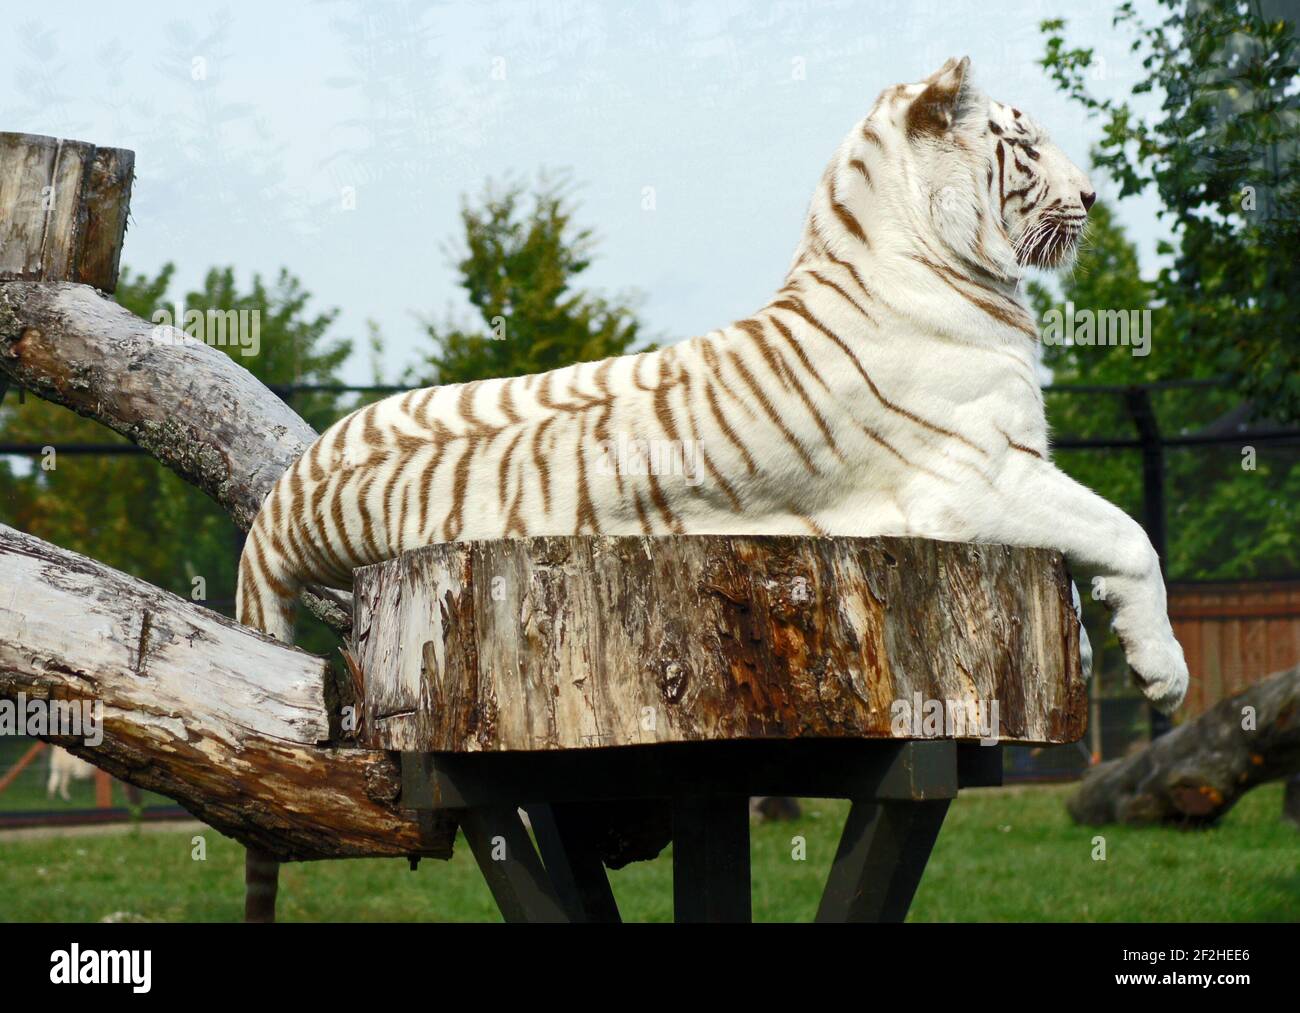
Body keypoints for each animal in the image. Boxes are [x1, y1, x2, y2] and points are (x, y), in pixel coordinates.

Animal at [234, 56, 1188, 916]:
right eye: (1023, 142)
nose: (1093, 196)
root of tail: (295, 487)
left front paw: (1094, 650)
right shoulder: (980, 474)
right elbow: (1126, 533)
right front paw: (1162, 672)